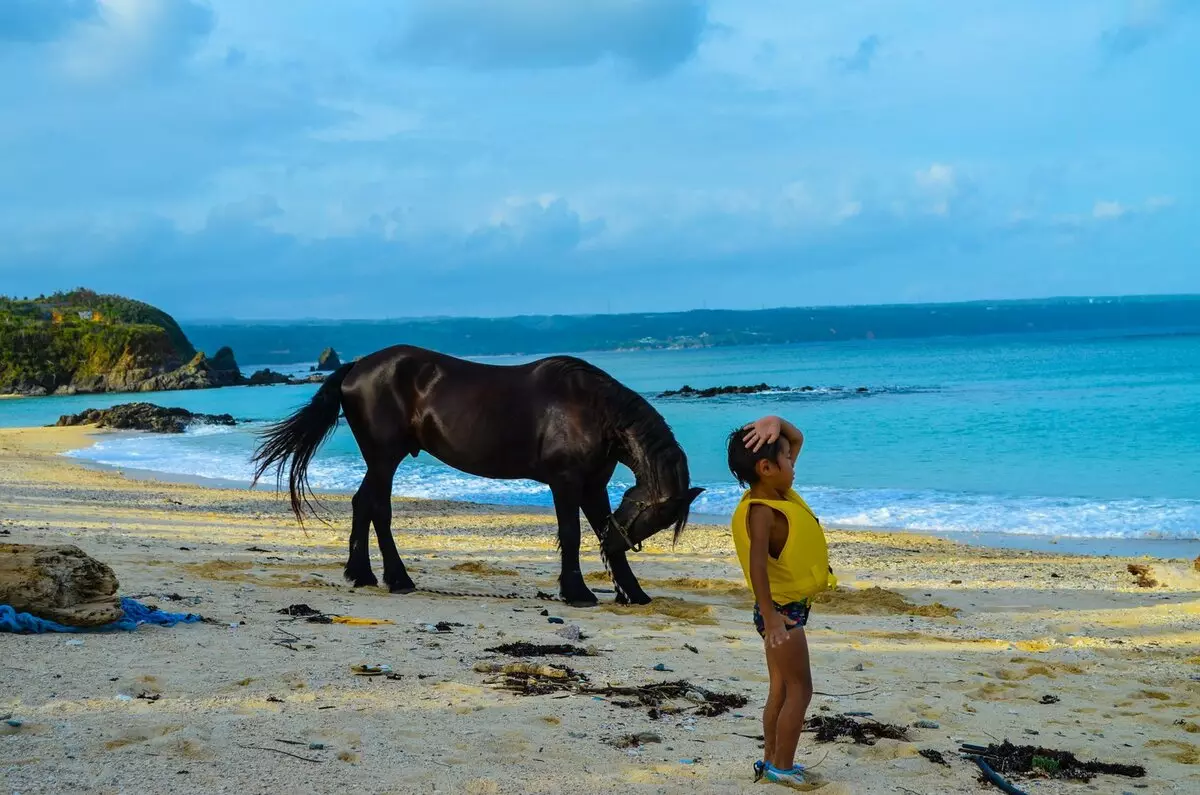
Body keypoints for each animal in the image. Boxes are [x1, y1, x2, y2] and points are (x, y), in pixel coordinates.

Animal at [253, 345, 700, 607]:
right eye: (649, 514)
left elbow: (596, 526)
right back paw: (397, 578)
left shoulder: (593, 485)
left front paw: (632, 591)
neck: (592, 409)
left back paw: (363, 574)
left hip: (381, 460)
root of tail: (356, 367)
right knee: (378, 507)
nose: (610, 545)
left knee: (363, 504)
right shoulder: (566, 483)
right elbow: (571, 534)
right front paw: (577, 593)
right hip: (384, 457)